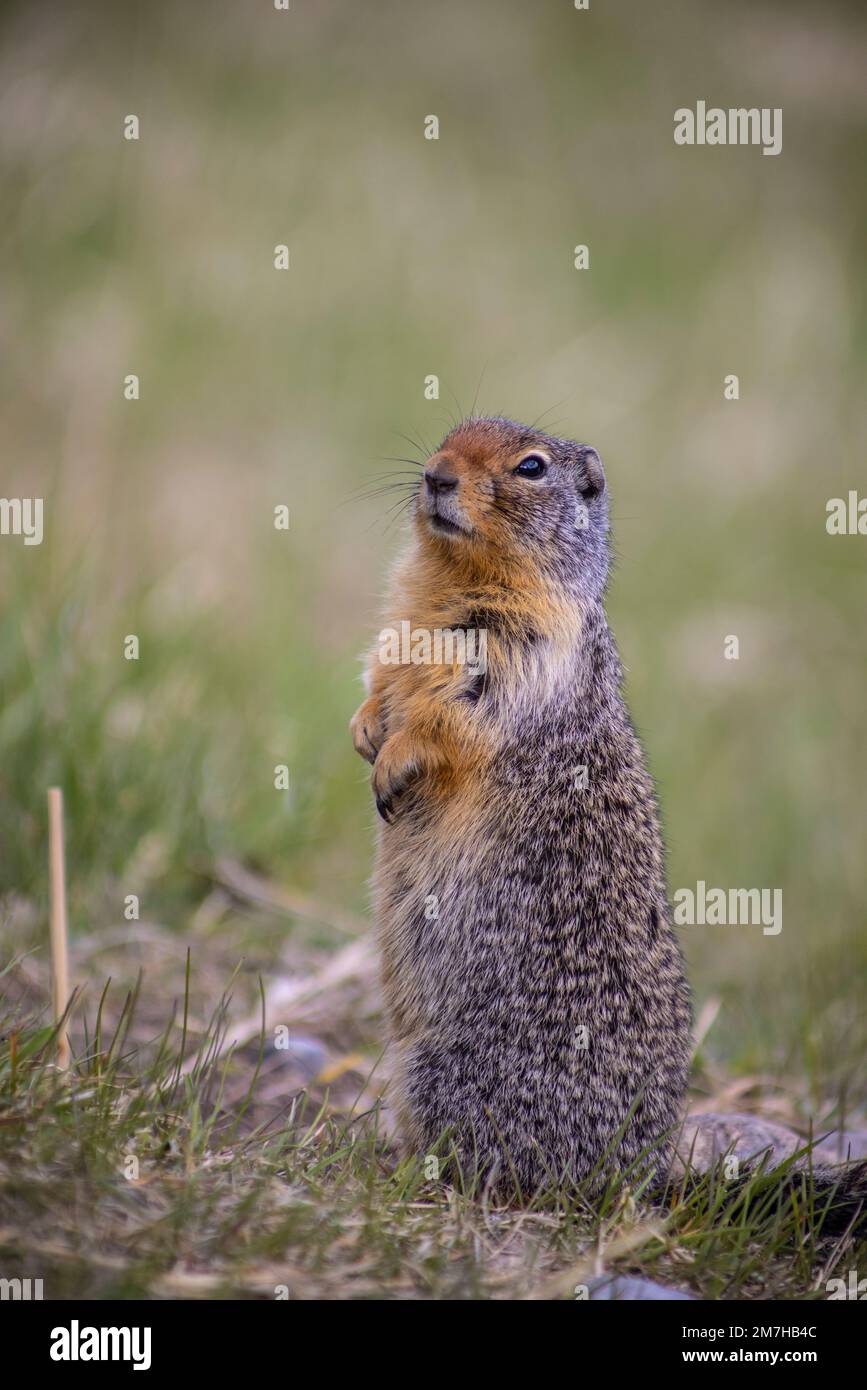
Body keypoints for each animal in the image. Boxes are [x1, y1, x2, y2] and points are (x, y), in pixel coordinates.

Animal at [350, 416, 867, 1227]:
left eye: (531, 467)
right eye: (447, 434)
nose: (435, 475)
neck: (454, 575)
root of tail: (640, 1177)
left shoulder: (519, 652)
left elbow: (454, 719)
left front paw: (394, 760)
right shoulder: (402, 628)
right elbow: (381, 677)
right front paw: (367, 730)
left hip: (444, 1072)